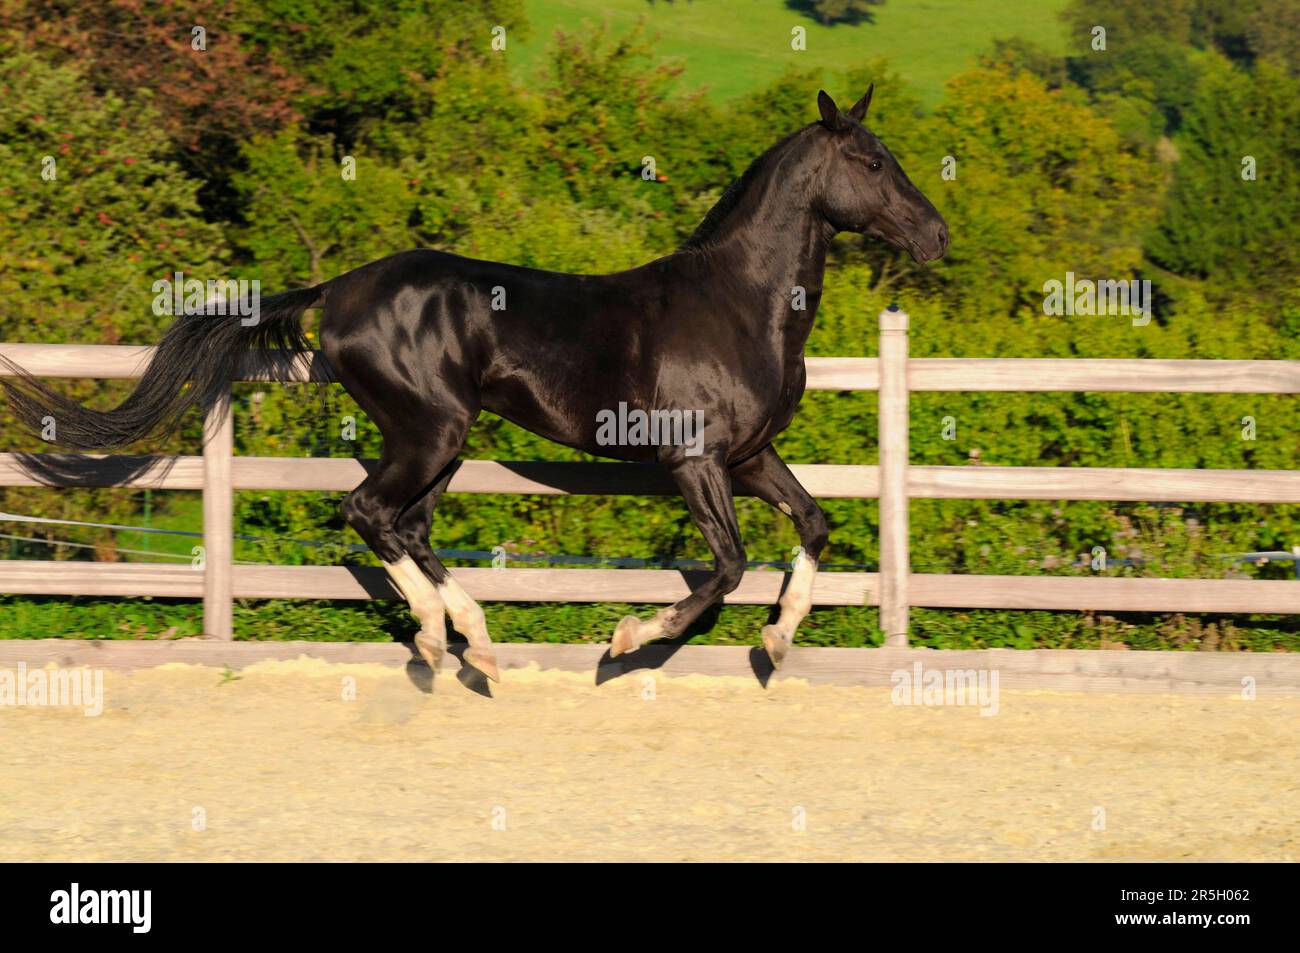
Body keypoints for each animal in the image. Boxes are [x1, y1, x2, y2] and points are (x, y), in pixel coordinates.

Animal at [1, 87, 948, 682]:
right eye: (871, 161)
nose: (936, 234)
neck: (737, 303)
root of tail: (339, 288)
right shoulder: (695, 461)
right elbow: (724, 567)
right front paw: (625, 639)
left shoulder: (752, 456)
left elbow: (815, 525)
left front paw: (777, 643)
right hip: (432, 431)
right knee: (370, 513)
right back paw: (438, 639)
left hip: (439, 438)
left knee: (407, 526)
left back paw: (478, 644)